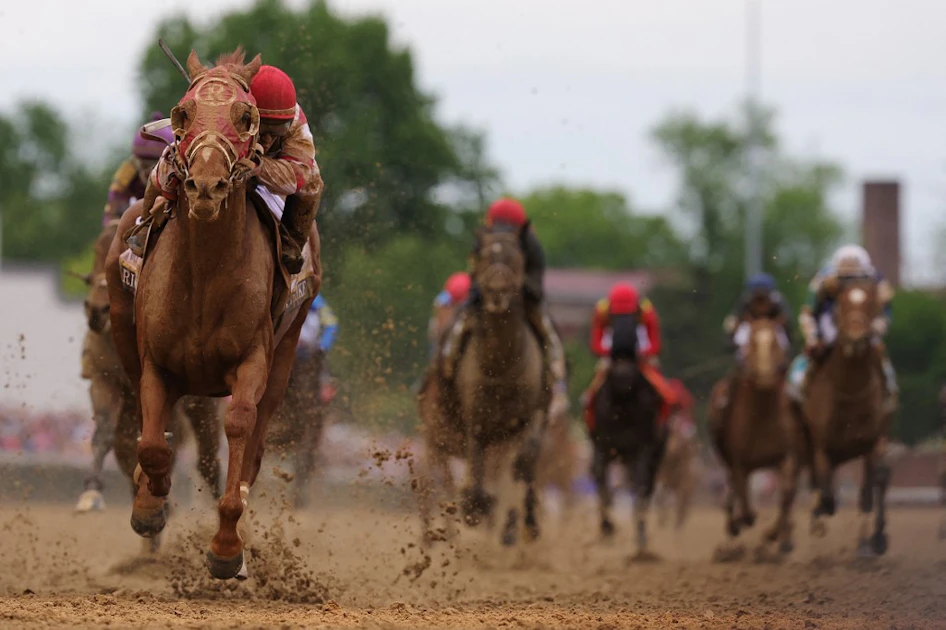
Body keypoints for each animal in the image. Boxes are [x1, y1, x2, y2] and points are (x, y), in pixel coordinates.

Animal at [74, 223, 223, 551]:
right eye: (96, 254)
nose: (97, 311)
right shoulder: (105, 379)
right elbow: (104, 435)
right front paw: (91, 494)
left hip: (204, 410)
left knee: (208, 463)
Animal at [105, 49, 320, 580]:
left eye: (246, 117)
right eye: (183, 113)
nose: (205, 186)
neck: (204, 274)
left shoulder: (254, 360)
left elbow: (240, 425)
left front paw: (226, 547)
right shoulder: (156, 362)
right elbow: (152, 440)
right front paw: (151, 502)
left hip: (290, 348)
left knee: (257, 440)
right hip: (120, 321)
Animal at [589, 324, 666, 557]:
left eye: (633, 377)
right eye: (614, 375)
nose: (623, 379)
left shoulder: (644, 446)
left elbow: (640, 487)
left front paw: (640, 540)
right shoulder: (603, 444)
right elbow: (601, 481)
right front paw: (607, 528)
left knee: (645, 487)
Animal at [708, 317, 802, 556]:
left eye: (777, 342)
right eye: (750, 343)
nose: (765, 375)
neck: (762, 415)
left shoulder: (787, 455)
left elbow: (786, 493)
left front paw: (774, 535)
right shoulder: (739, 460)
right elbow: (743, 497)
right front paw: (742, 521)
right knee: (733, 489)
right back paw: (735, 523)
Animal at [799, 278, 892, 557]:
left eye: (871, 304)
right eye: (840, 304)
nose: (856, 338)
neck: (850, 389)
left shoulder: (873, 441)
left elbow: (872, 487)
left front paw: (875, 538)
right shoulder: (821, 445)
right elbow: (825, 490)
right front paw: (821, 513)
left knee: (875, 484)